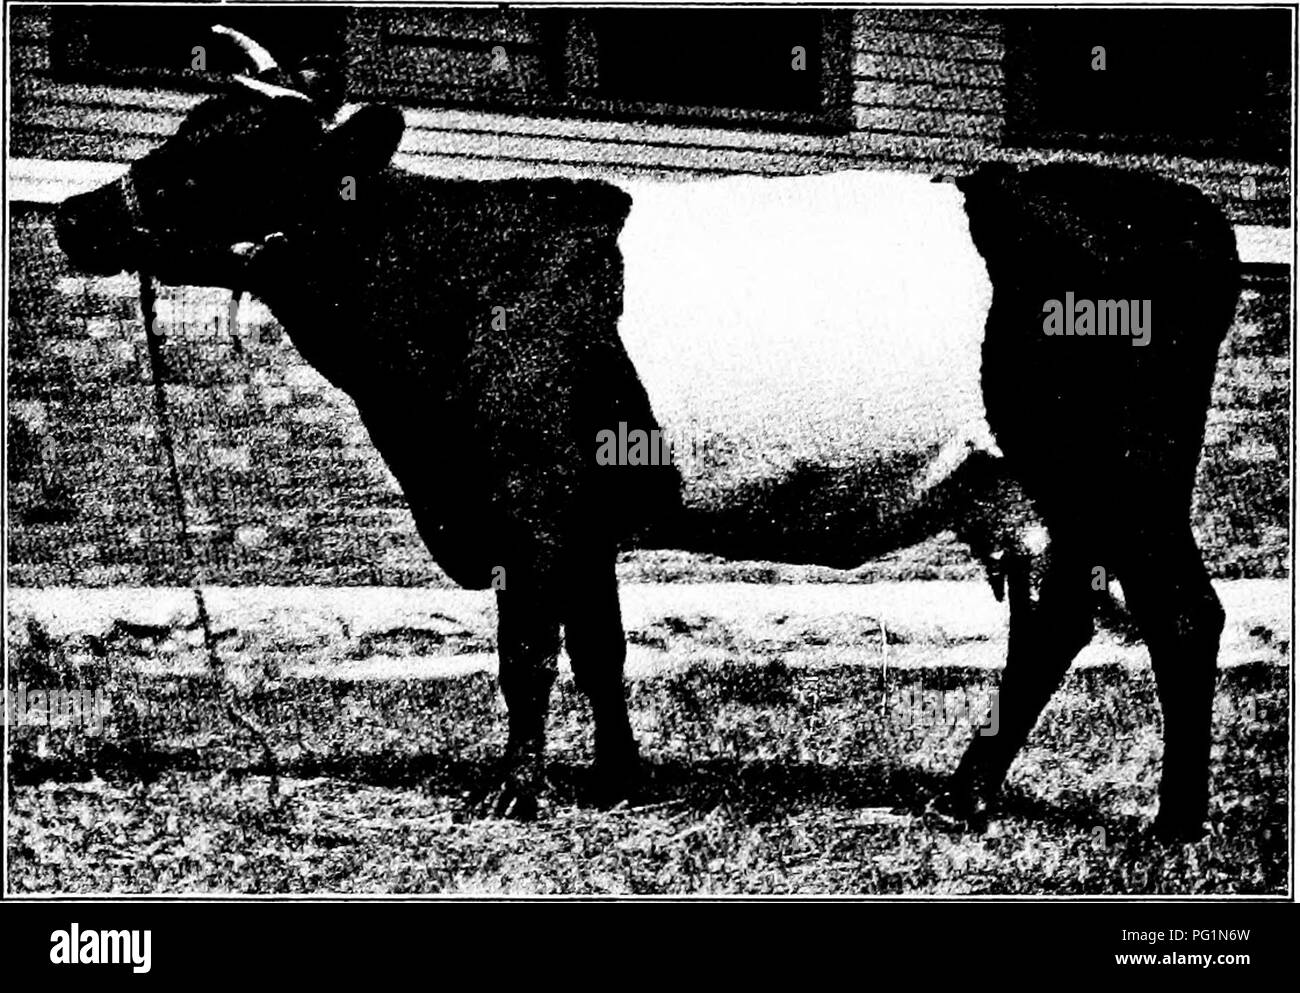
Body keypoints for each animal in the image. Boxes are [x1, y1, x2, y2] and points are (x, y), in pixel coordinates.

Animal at [53, 28, 1241, 840]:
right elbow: (601, 647)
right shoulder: (580, 520)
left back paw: (1170, 823)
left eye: (234, 157)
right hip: (1033, 495)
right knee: (1055, 624)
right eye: (184, 131)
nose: (74, 214)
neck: (450, 280)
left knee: (1181, 616)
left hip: (1128, 474)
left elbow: (527, 652)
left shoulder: (529, 502)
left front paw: (513, 791)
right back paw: (966, 794)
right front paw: (619, 780)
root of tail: (1179, 207)